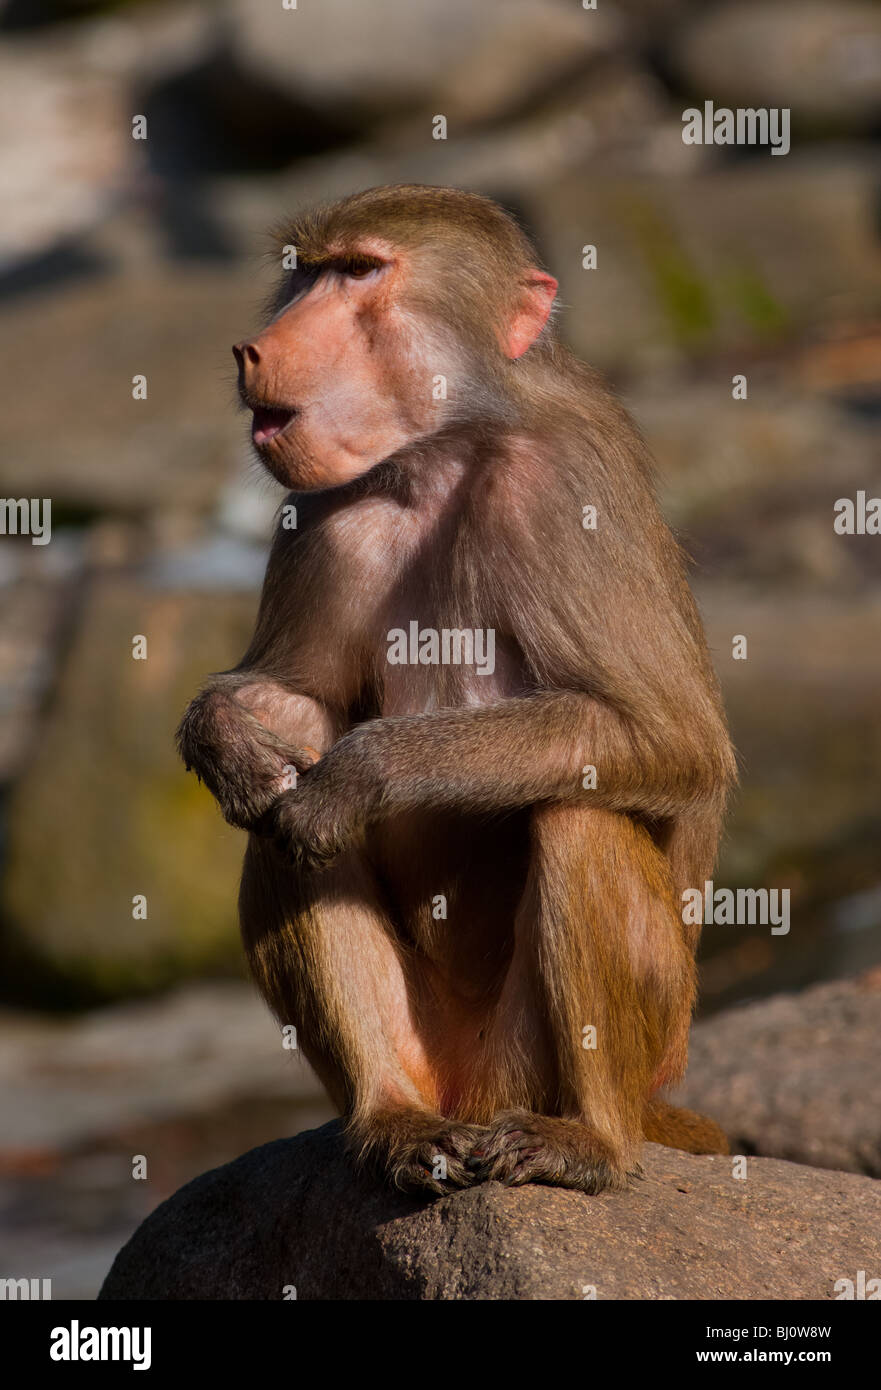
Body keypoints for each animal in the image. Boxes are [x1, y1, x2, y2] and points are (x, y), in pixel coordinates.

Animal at [177, 184, 736, 1196]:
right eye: (306, 272)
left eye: (362, 270)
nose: (252, 349)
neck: (443, 452)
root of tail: (471, 1099)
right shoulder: (325, 514)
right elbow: (292, 707)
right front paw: (230, 743)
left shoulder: (563, 488)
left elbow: (670, 738)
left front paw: (359, 776)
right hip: (431, 1052)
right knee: (273, 831)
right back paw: (394, 1124)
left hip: (568, 1055)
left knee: (578, 815)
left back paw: (589, 1143)